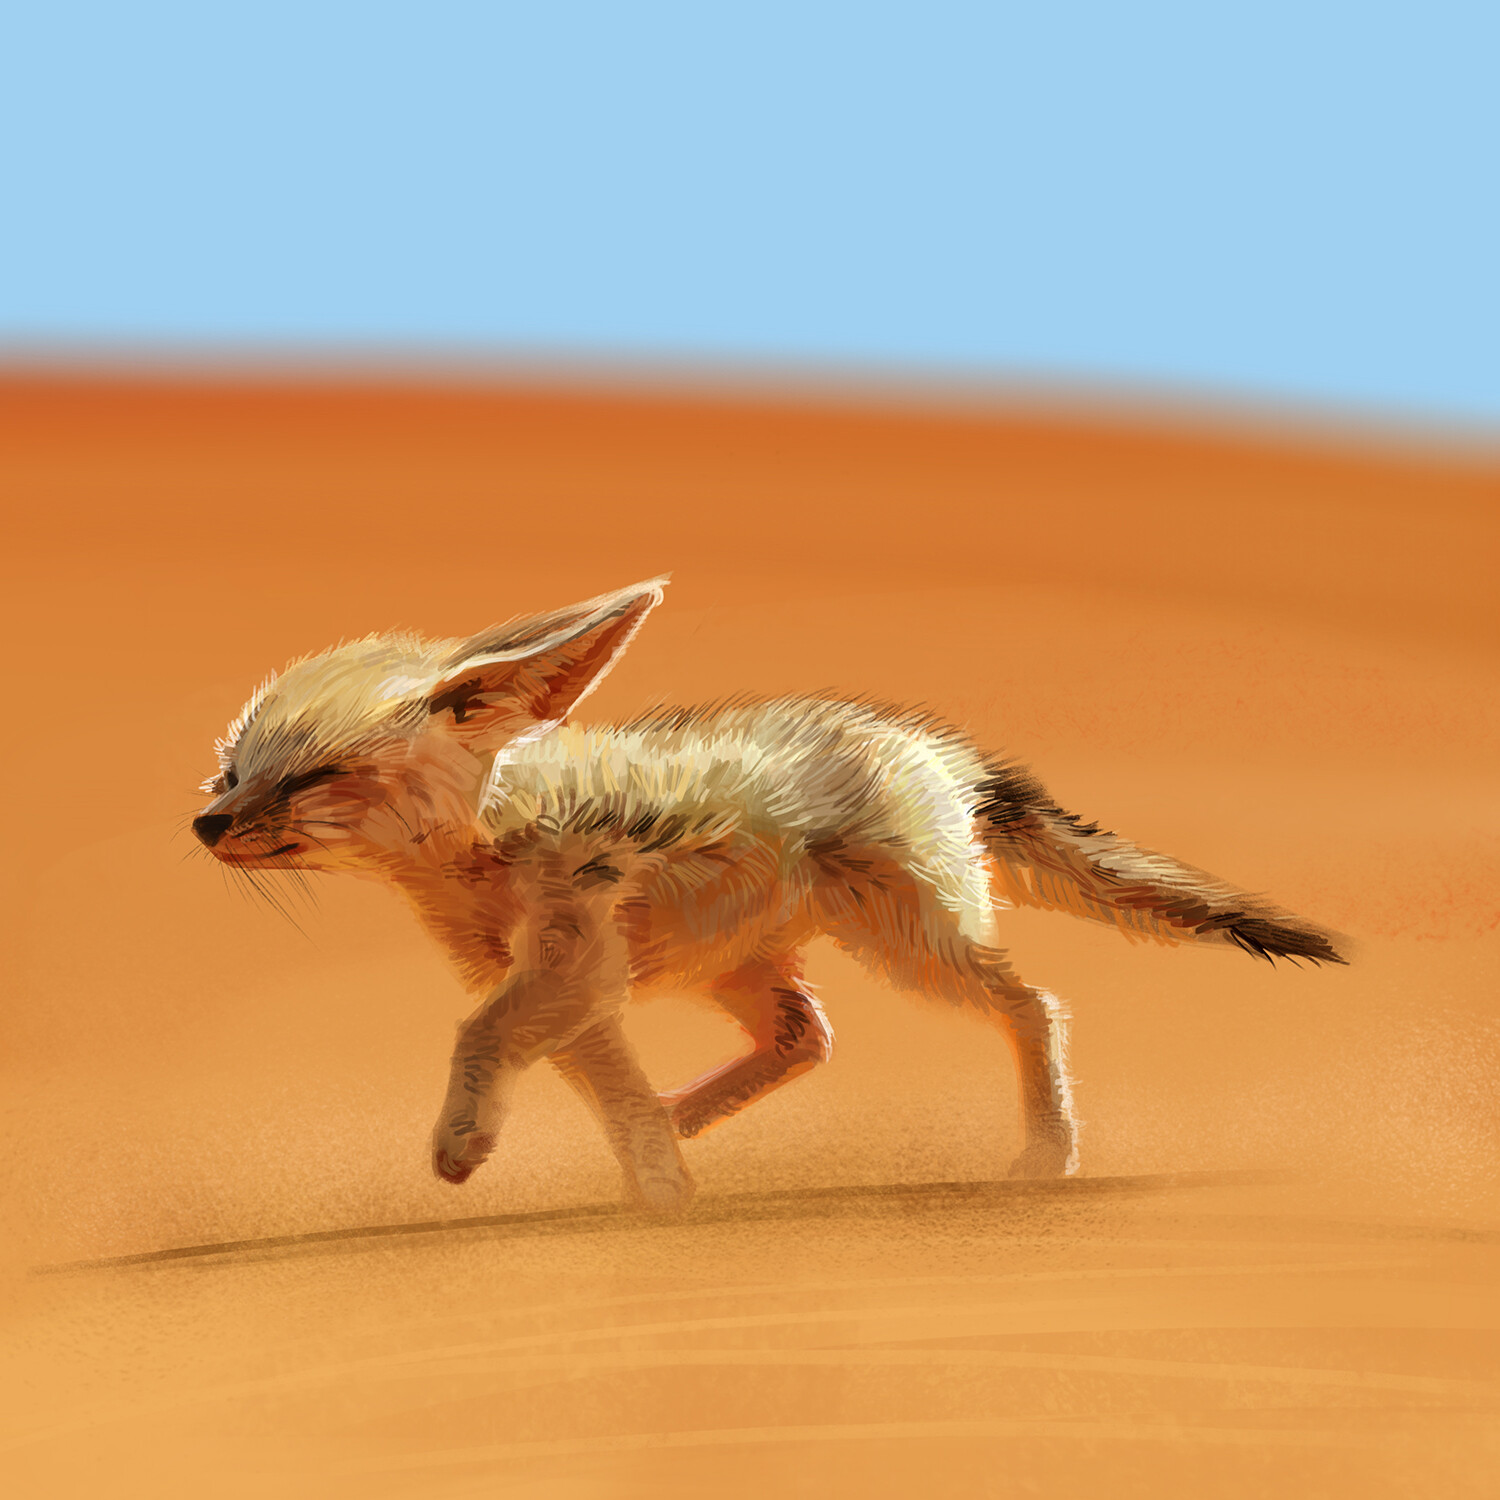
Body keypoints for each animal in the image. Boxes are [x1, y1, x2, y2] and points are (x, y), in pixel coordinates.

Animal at [193, 577, 1346, 1211]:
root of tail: (933, 744)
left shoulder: (568, 969)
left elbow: (481, 1037)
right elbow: (609, 1095)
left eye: (311, 777)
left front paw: (465, 1142)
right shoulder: (580, 995)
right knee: (807, 1036)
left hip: (909, 942)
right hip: (743, 962)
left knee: (1032, 1005)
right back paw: (689, 1117)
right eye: (232, 773)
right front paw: (659, 1190)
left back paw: (1046, 1154)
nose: (204, 827)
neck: (485, 842)